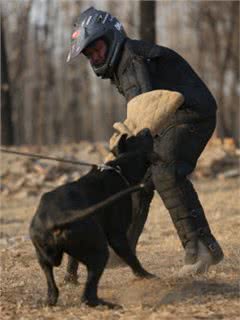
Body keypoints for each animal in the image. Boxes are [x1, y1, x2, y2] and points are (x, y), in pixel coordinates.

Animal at [29, 129, 154, 308]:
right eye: (136, 138)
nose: (146, 130)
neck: (118, 168)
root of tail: (58, 219)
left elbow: (72, 261)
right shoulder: (117, 235)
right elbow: (131, 256)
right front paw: (145, 274)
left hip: (43, 258)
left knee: (52, 287)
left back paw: (50, 300)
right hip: (100, 253)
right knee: (88, 295)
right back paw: (107, 304)